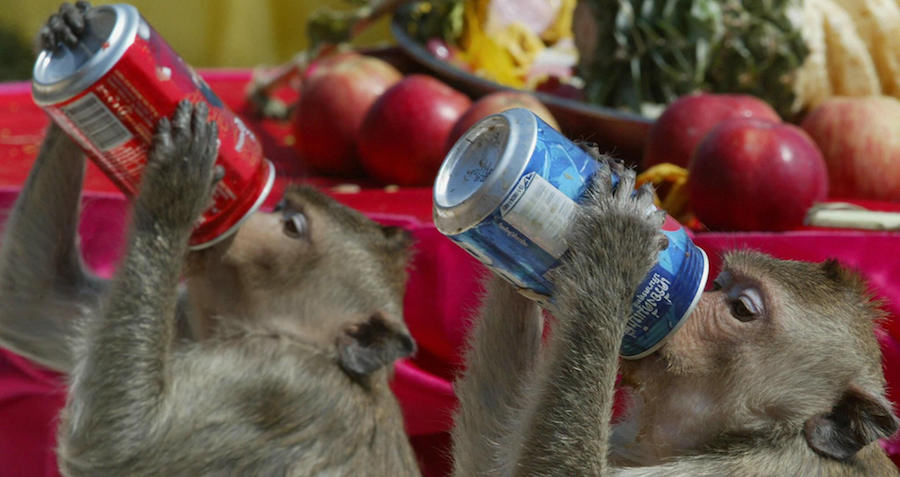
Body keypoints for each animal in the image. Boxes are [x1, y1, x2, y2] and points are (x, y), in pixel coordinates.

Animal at [0, 4, 421, 476]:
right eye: (282, 210)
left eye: (292, 225)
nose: (254, 210)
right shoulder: (188, 315)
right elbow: (32, 297)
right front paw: (69, 30)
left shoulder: (280, 385)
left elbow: (114, 446)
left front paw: (176, 188)